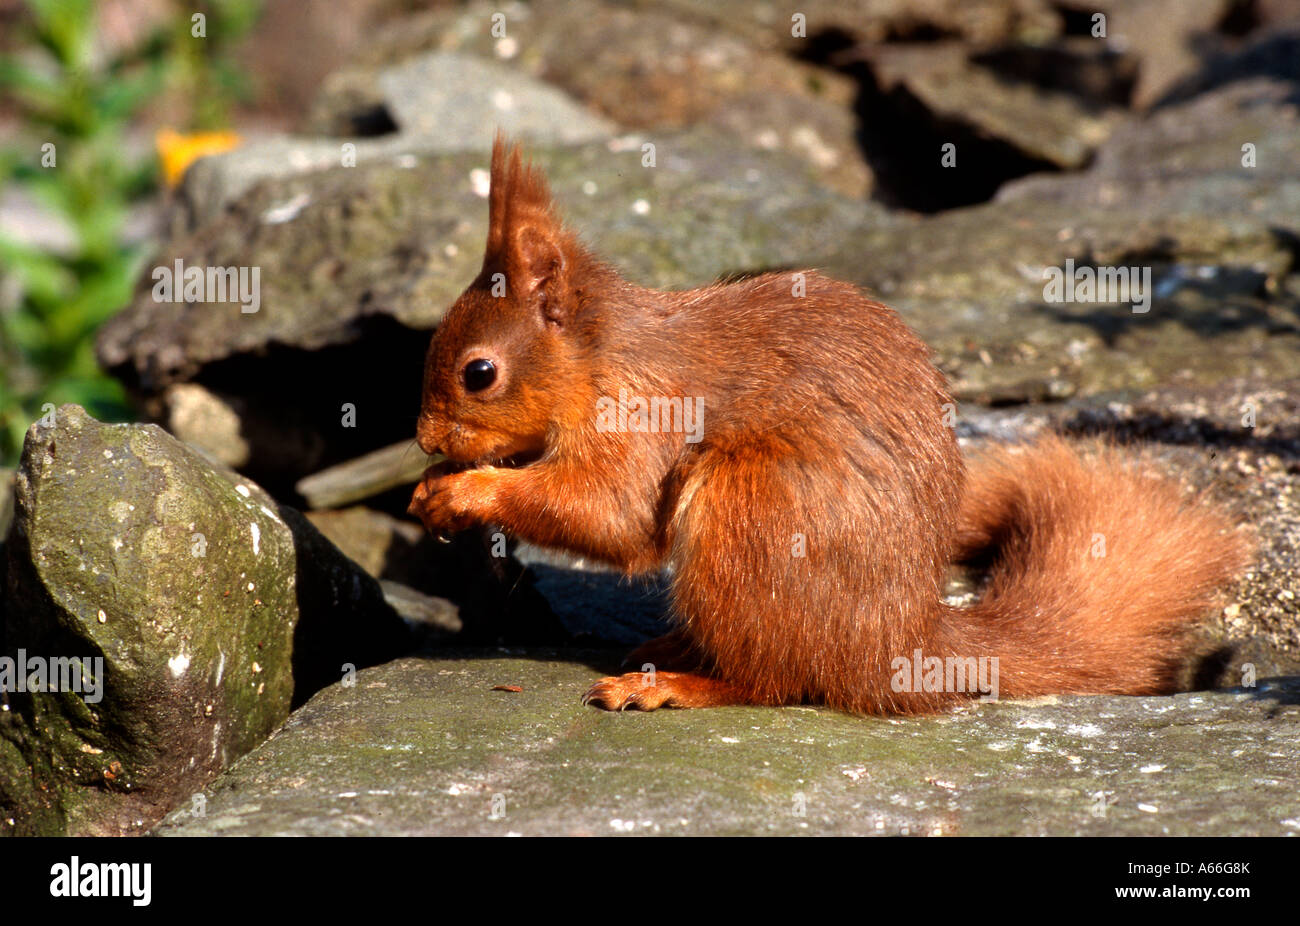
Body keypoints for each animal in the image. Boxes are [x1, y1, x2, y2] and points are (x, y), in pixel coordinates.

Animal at [408, 136, 1253, 714]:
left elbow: (609, 514)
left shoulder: (641, 413)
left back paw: (678, 682)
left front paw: (463, 493)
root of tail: (898, 644)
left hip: (751, 510)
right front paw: (432, 488)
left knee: (777, 679)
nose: (426, 441)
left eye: (478, 373)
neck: (600, 355)